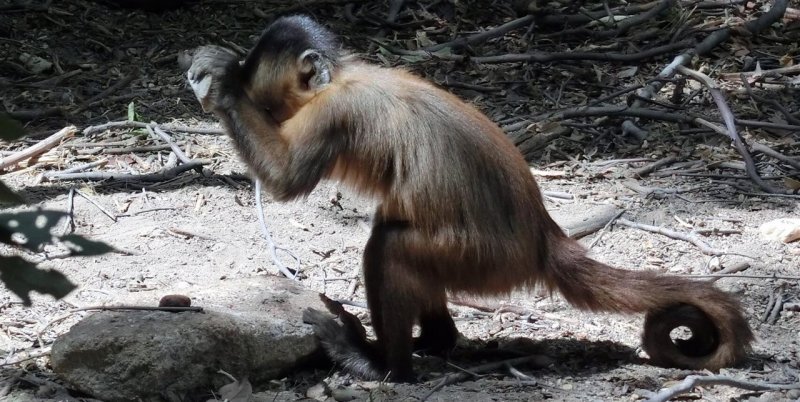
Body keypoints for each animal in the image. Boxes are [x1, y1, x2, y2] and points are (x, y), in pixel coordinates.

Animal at [186, 15, 753, 382]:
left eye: (256, 86)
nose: (243, 89)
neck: (341, 77)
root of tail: (544, 237)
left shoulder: (334, 111)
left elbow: (285, 182)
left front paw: (220, 80)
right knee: (393, 235)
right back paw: (435, 342)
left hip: (483, 262)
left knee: (390, 245)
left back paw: (387, 367)